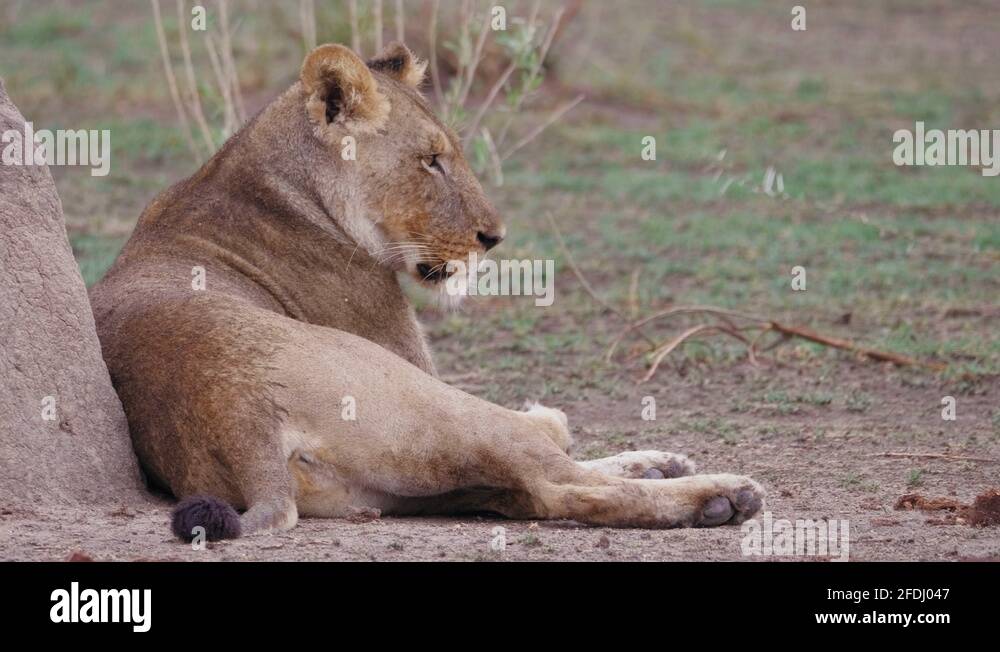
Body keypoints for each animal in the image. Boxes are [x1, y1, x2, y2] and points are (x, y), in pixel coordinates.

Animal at [89, 42, 764, 540]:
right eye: (431, 160)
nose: (493, 237)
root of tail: (234, 417)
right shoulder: (410, 354)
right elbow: (556, 432)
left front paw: (660, 457)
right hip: (431, 403)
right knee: (553, 473)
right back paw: (722, 495)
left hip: (403, 481)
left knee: (542, 491)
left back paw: (681, 479)